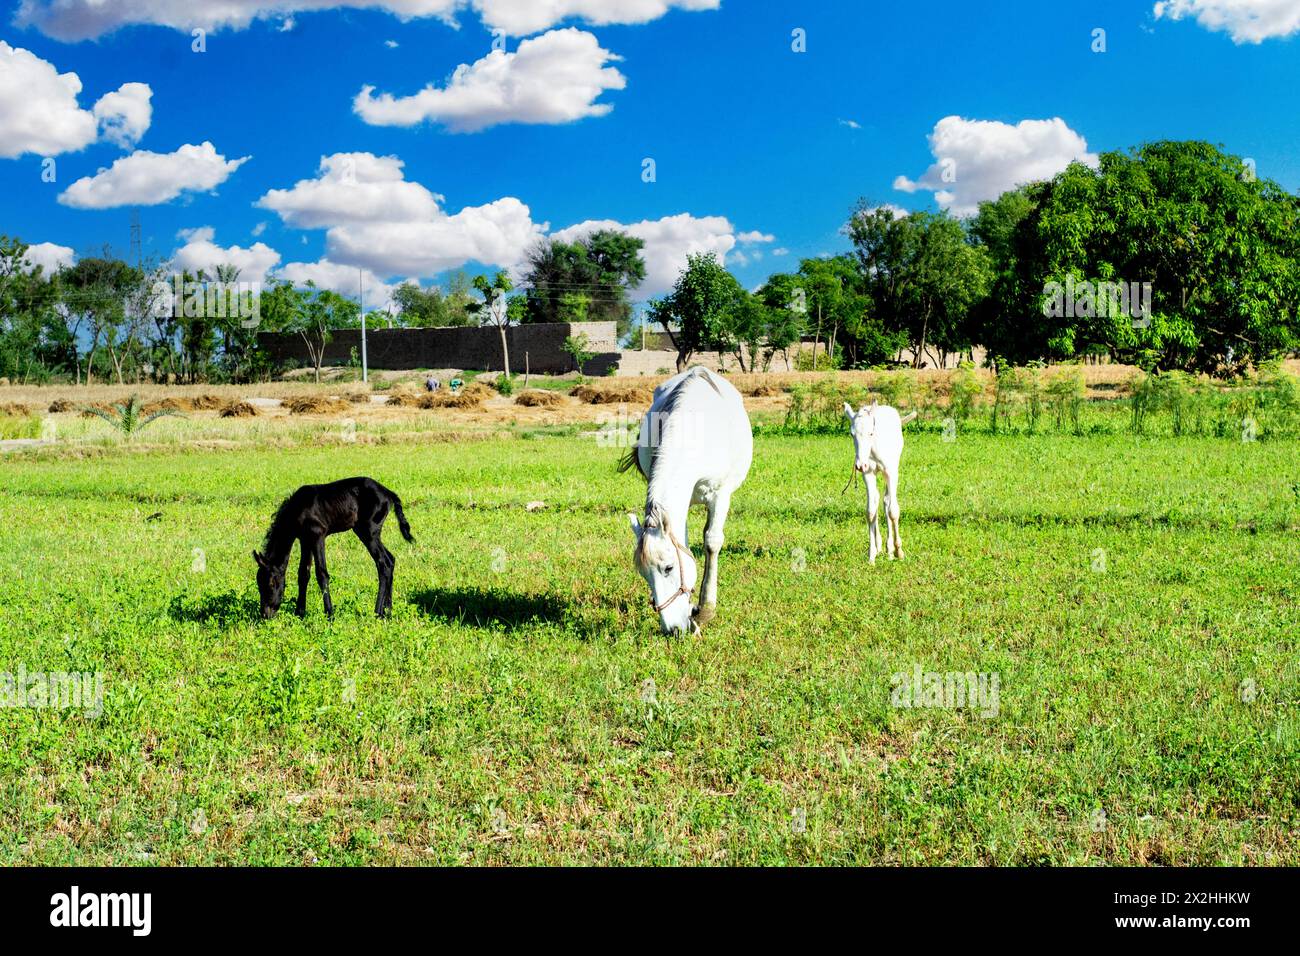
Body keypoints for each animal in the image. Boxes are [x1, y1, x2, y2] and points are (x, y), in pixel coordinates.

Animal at [253, 476, 413, 620]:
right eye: (259, 584)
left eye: (271, 583)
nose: (266, 614)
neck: (297, 509)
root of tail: (388, 493)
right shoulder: (305, 540)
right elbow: (303, 574)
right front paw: (300, 613)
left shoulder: (318, 535)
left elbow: (321, 574)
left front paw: (330, 614)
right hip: (366, 532)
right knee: (390, 559)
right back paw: (388, 611)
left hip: (369, 531)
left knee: (383, 563)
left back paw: (378, 613)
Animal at [622, 367, 753, 634]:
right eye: (643, 574)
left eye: (669, 567)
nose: (672, 629)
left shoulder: (720, 495)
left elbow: (712, 542)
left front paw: (705, 610)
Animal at [843, 401, 916, 563]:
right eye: (852, 434)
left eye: (871, 433)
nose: (859, 465)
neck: (873, 447)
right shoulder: (868, 473)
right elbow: (870, 511)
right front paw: (871, 555)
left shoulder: (891, 471)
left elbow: (893, 510)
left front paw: (899, 552)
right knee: (877, 499)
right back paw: (880, 547)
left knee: (887, 500)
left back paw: (890, 550)